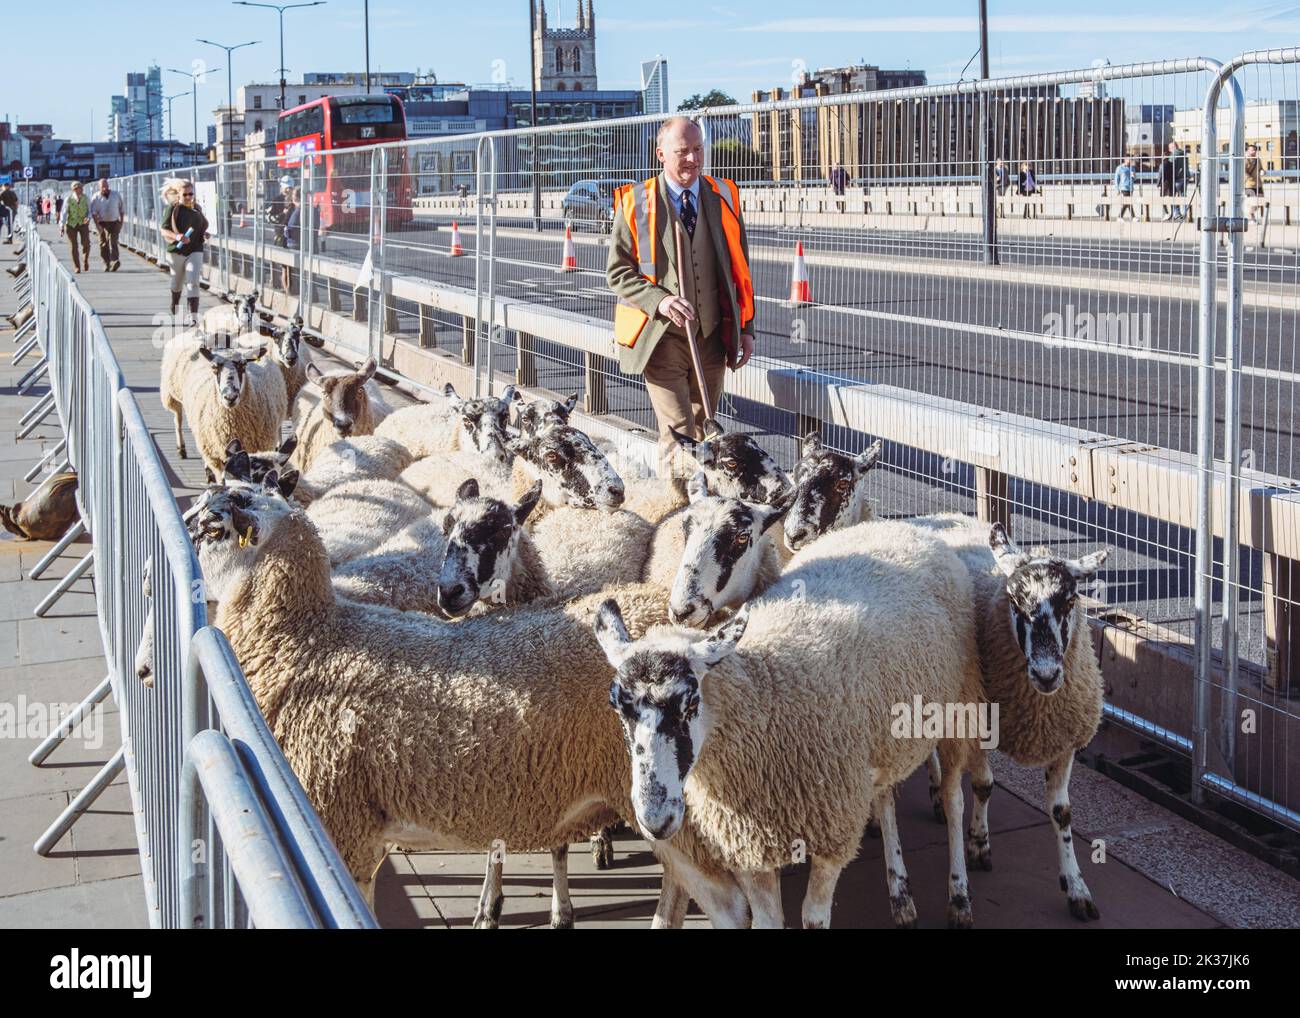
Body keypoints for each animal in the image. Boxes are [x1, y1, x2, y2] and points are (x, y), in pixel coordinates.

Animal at [159, 333, 288, 478]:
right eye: (214, 367)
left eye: (243, 365)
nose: (230, 397)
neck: (232, 426)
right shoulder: (216, 457)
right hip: (172, 394)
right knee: (178, 418)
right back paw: (181, 450)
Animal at [594, 514, 987, 929]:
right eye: (618, 707)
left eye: (690, 703)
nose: (654, 819)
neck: (766, 691)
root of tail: (901, 526)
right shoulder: (751, 850)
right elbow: (768, 920)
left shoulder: (833, 832)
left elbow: (813, 917)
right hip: (878, 737)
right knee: (884, 798)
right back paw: (900, 891)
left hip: (958, 704)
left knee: (954, 798)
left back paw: (959, 895)